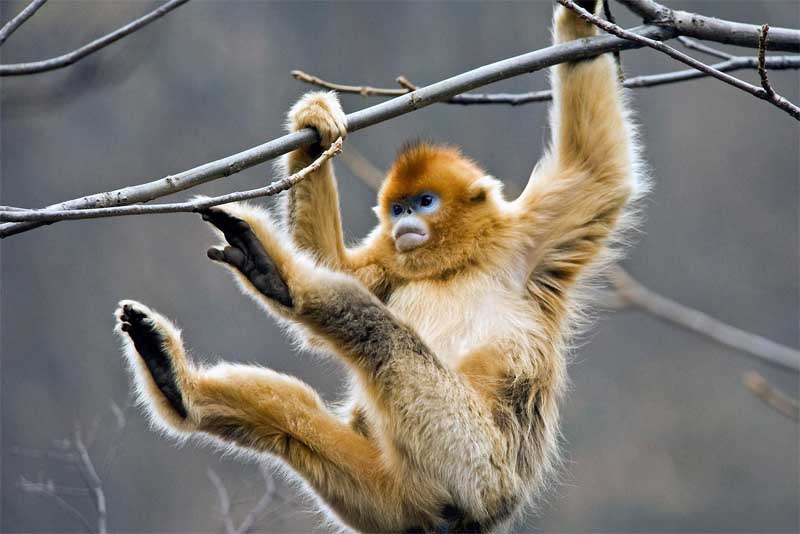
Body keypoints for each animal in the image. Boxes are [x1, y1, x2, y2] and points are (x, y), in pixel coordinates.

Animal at [115, 2, 644, 531]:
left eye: (425, 202)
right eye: (398, 208)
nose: (405, 221)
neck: (454, 263)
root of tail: (454, 517)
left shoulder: (532, 240)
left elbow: (598, 170)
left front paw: (584, 22)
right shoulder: (394, 260)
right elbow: (333, 262)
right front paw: (314, 135)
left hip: (470, 461)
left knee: (378, 335)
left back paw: (281, 282)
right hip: (385, 494)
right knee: (298, 414)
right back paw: (179, 382)